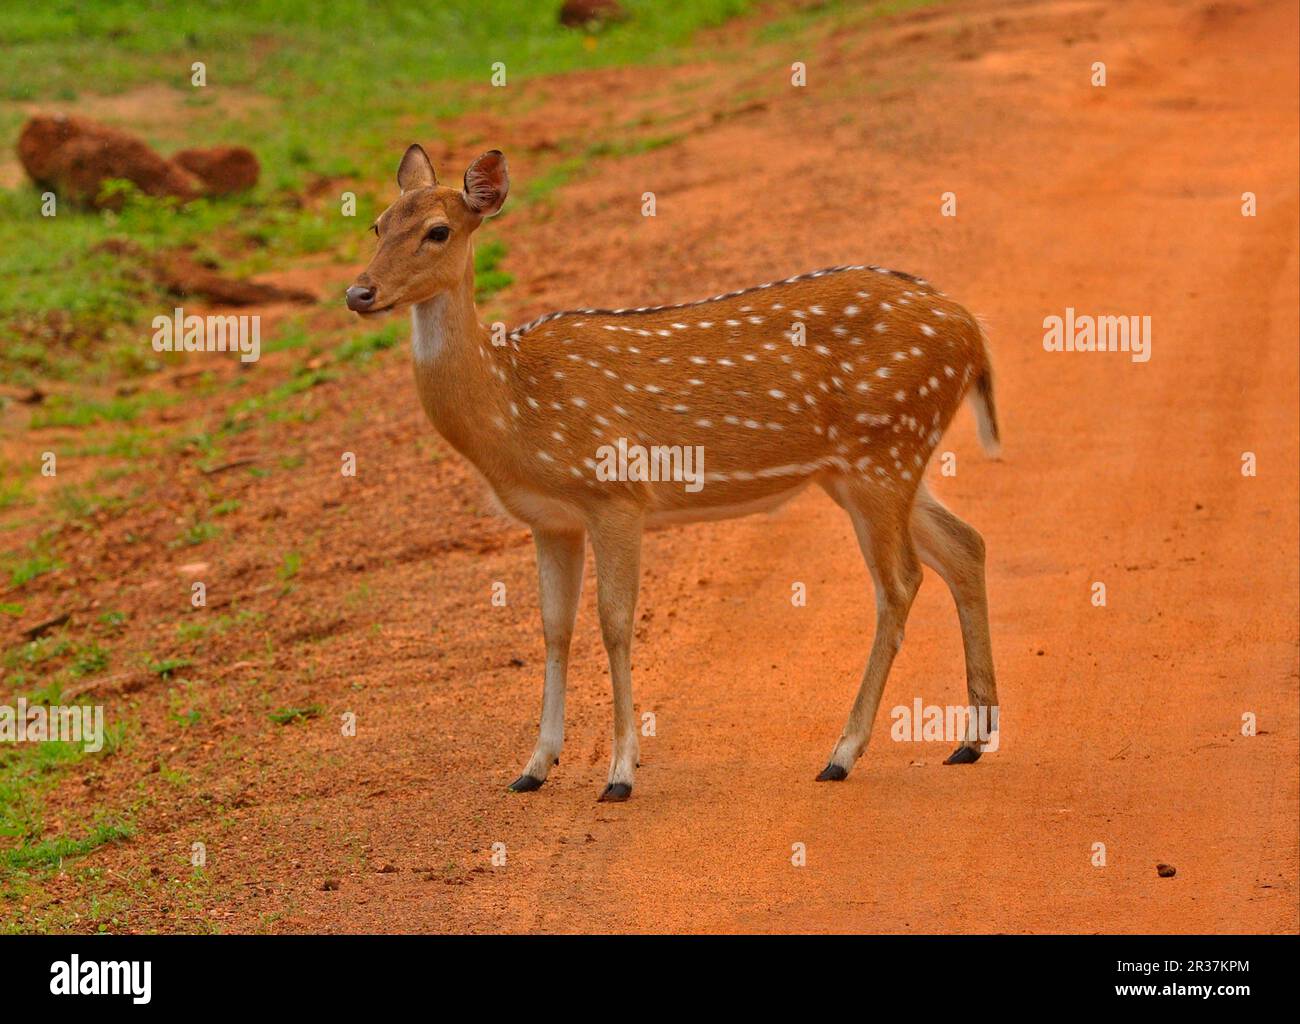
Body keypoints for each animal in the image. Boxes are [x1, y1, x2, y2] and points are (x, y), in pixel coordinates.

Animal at [346, 144, 1001, 802]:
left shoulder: (615, 492)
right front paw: (533, 767)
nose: (359, 291)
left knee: (900, 582)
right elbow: (554, 627)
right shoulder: (550, 519)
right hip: (871, 465)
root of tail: (973, 332)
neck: (513, 405)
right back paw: (970, 741)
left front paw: (619, 773)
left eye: (438, 231)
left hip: (884, 450)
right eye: (376, 224)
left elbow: (613, 623)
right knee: (965, 543)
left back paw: (842, 754)